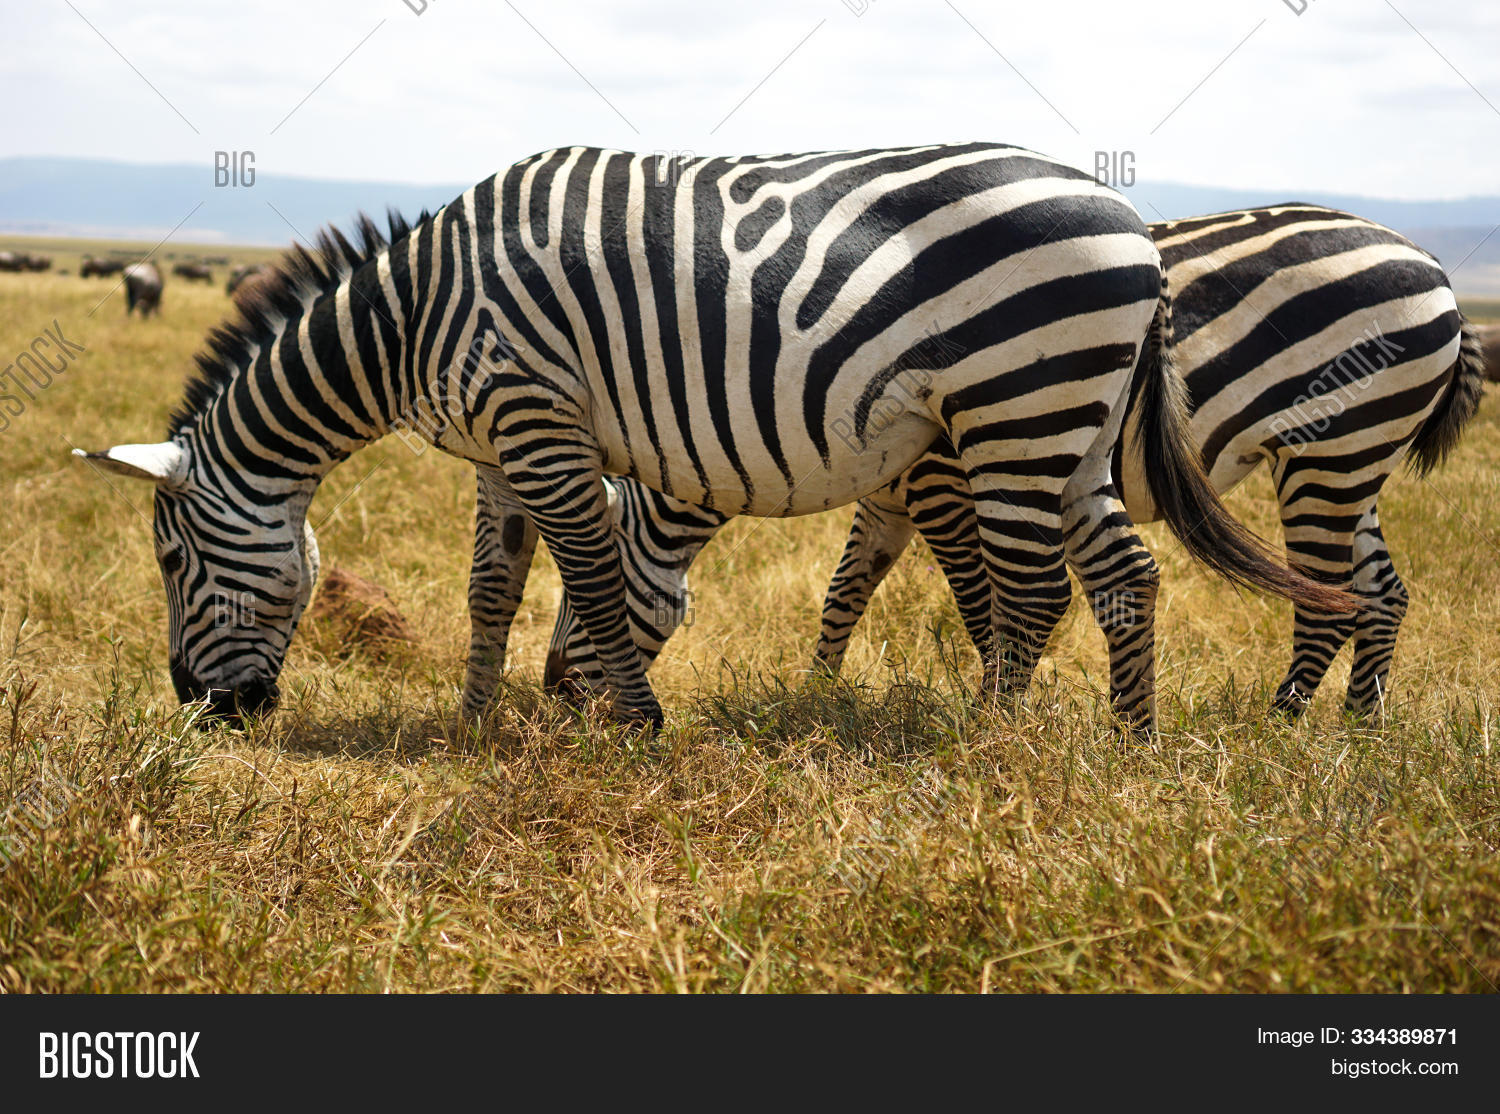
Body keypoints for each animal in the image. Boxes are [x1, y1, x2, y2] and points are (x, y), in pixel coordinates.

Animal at [73, 145, 1340, 730]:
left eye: (171, 560)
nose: (201, 708)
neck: (415, 318)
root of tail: (1129, 220)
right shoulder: (498, 447)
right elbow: (496, 584)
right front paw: (477, 717)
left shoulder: (538, 421)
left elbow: (590, 574)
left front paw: (634, 724)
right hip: (1065, 420)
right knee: (1125, 573)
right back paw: (1131, 736)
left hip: (1013, 411)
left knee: (1032, 590)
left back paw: (992, 737)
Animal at [542, 205, 1483, 719]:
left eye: (581, 598)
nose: (554, 697)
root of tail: (1433, 266)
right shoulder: (889, 495)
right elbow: (844, 592)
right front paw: (816, 691)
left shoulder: (939, 481)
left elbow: (975, 595)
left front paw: (994, 701)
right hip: (1354, 455)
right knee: (1381, 591)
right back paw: (1360, 728)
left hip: (1330, 446)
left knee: (1331, 599)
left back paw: (1279, 725)